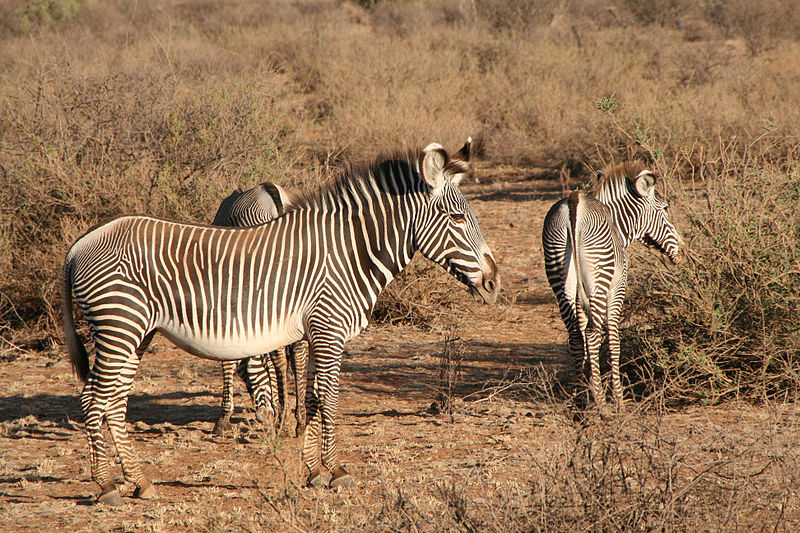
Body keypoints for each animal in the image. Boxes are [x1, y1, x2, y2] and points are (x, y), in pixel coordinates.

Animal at [542, 162, 684, 408]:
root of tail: (574, 205)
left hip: (559, 275)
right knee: (592, 334)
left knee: (576, 335)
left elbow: (583, 337)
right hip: (601, 277)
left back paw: (578, 399)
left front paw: (587, 384)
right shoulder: (618, 288)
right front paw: (618, 398)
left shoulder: (579, 298)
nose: (681, 250)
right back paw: (601, 403)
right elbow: (614, 339)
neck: (617, 223)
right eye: (665, 208)